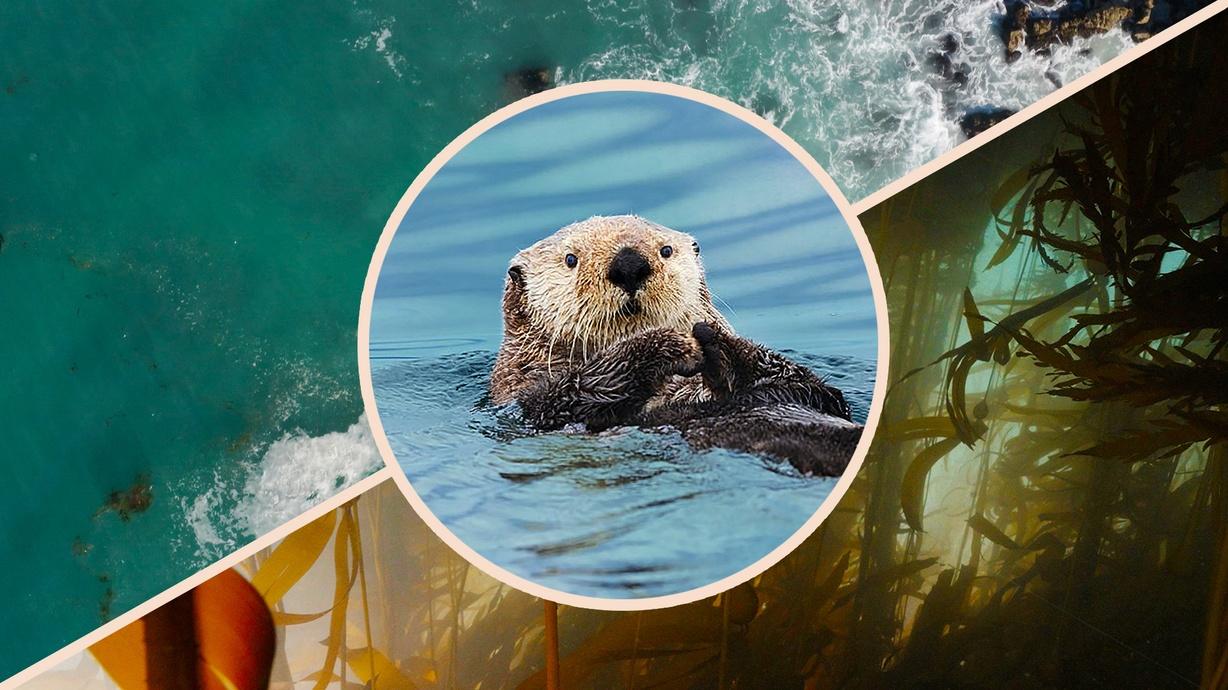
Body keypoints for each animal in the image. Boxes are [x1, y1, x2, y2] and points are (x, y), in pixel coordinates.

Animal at [490, 215, 861, 476]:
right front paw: (670, 344)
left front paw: (718, 342)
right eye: (571, 259)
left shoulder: (816, 395)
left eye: (665, 250)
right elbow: (575, 393)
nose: (629, 264)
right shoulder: (530, 401)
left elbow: (812, 388)